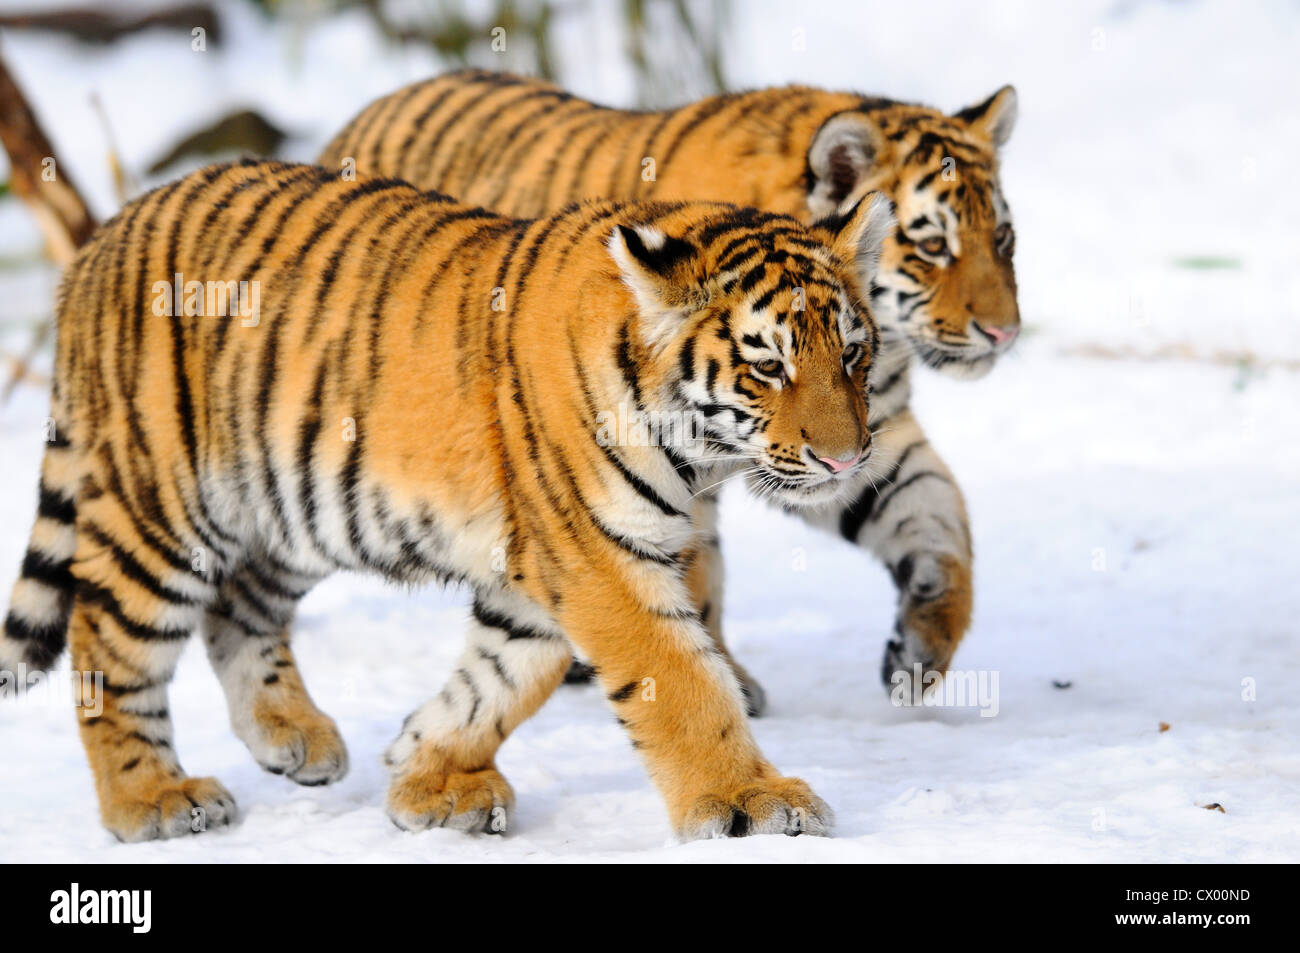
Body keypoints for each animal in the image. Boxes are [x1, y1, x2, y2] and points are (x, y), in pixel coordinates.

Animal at [0, 158, 895, 841]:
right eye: (769, 366)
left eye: (853, 353)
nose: (847, 455)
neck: (694, 448)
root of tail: (102, 240)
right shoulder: (600, 558)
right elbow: (684, 682)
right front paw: (750, 801)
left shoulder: (545, 568)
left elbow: (505, 676)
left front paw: (427, 774)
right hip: (161, 513)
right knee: (107, 649)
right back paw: (151, 799)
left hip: (289, 512)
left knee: (237, 609)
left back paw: (293, 738)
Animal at [318, 69, 1022, 711]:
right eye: (932, 246)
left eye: (1002, 238)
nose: (1005, 332)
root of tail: (362, 118)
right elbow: (690, 572)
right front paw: (725, 679)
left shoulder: (858, 433)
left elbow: (937, 514)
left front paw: (923, 647)